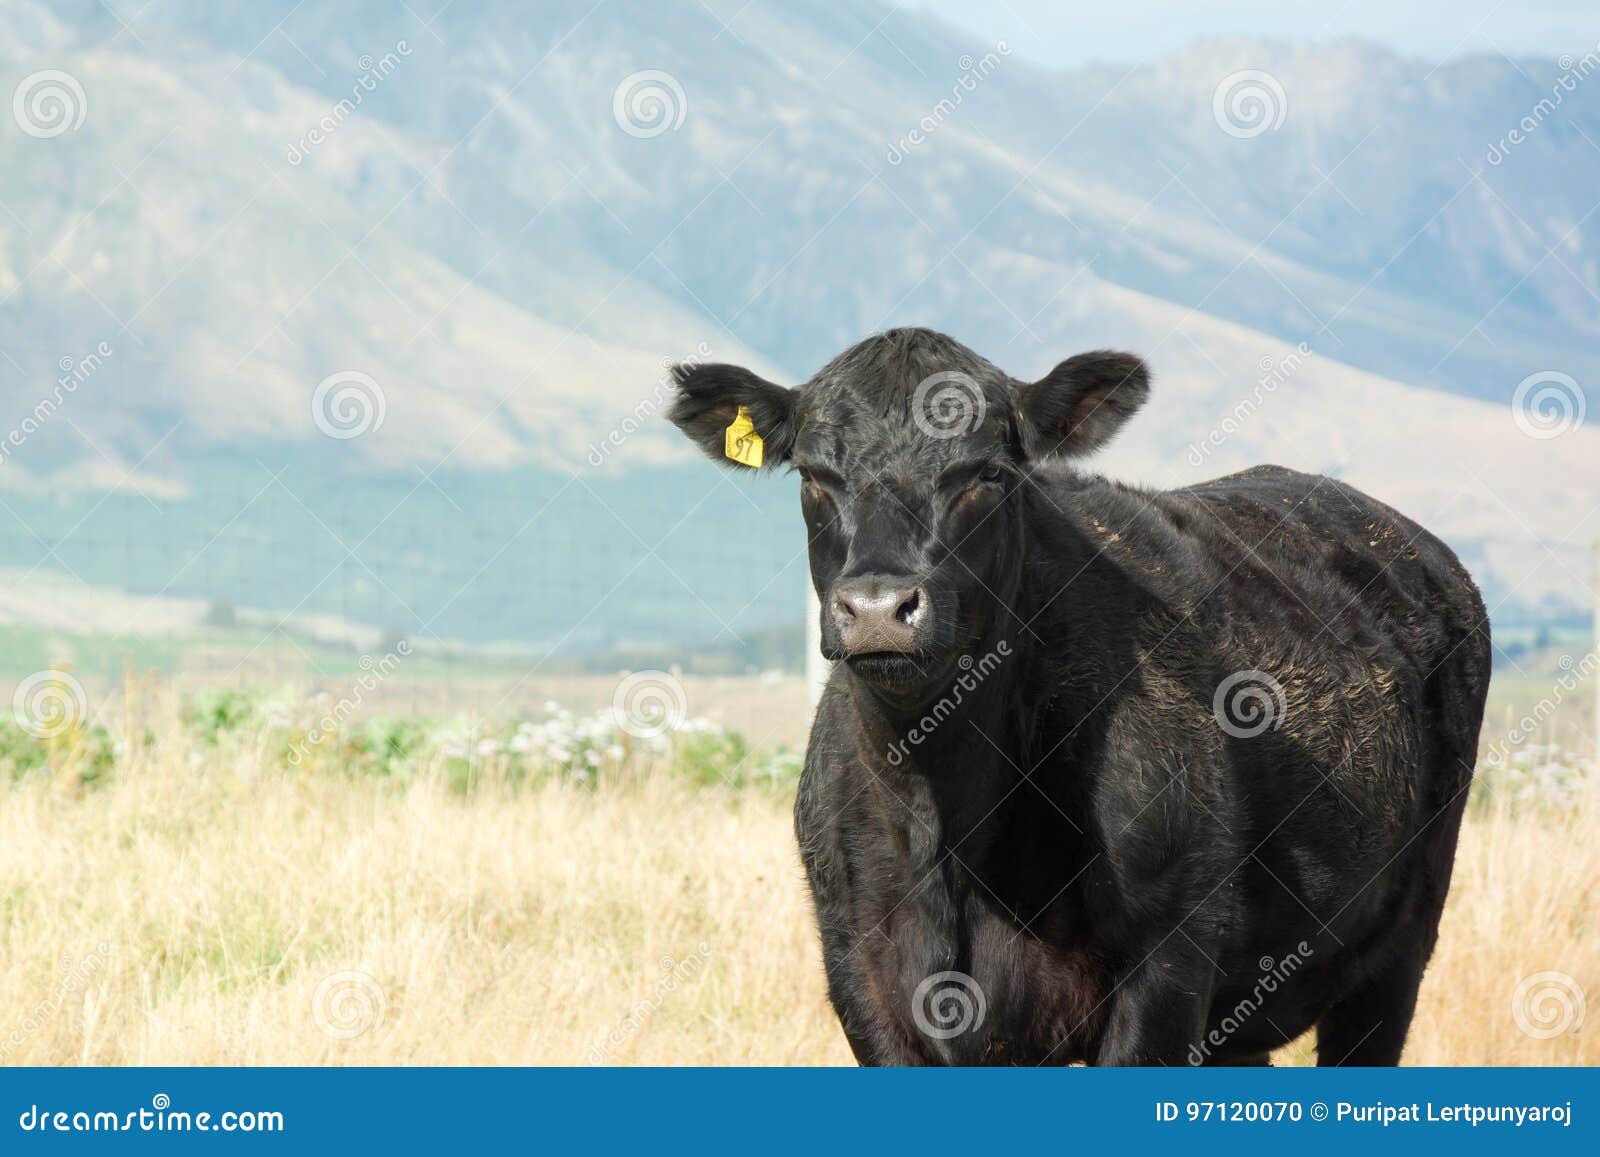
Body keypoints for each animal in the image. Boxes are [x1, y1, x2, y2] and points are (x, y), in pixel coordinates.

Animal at [668, 327, 1491, 1066]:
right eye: (813, 475)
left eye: (986, 474)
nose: (877, 607)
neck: (944, 822)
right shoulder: (863, 980)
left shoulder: (1164, 975)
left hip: (1397, 956)